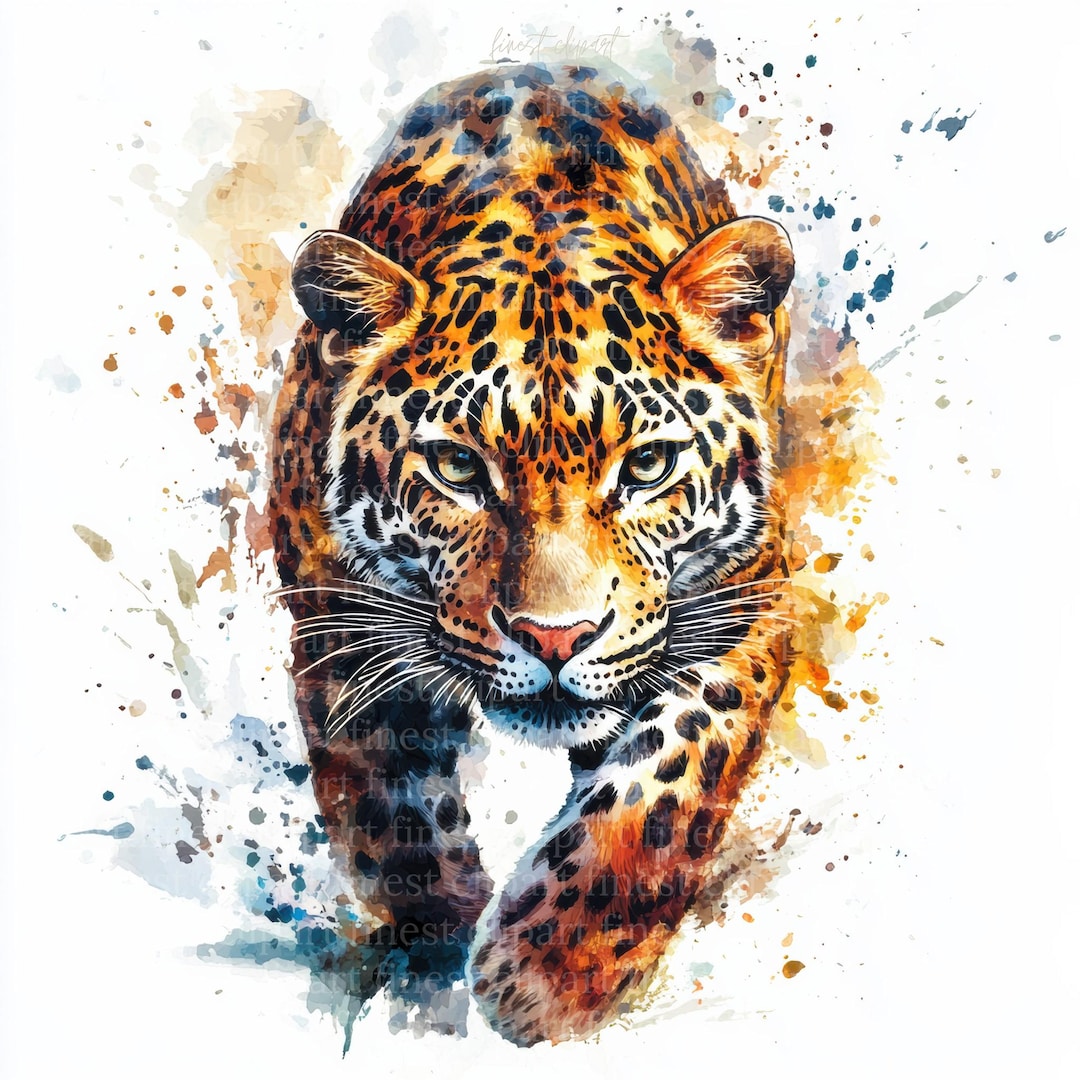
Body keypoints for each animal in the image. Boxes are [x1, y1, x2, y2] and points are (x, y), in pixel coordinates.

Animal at [269, 62, 795, 1045]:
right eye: (456, 468)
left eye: (649, 466)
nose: (555, 638)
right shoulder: (340, 623)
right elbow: (394, 811)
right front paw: (437, 936)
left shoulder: (749, 604)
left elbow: (667, 781)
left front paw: (550, 975)